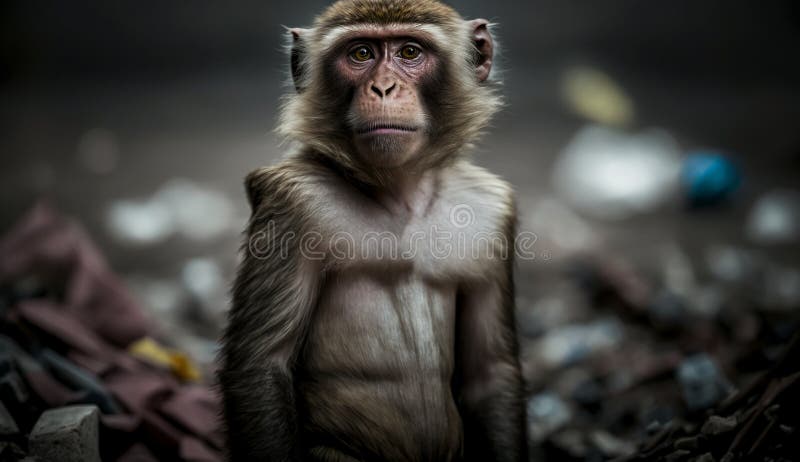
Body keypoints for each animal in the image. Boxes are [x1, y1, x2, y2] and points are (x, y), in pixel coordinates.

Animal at [218, 1, 527, 461]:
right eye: (361, 54)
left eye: (410, 52)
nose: (383, 88)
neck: (401, 193)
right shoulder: (292, 201)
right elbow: (262, 364)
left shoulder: (492, 210)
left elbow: (489, 373)